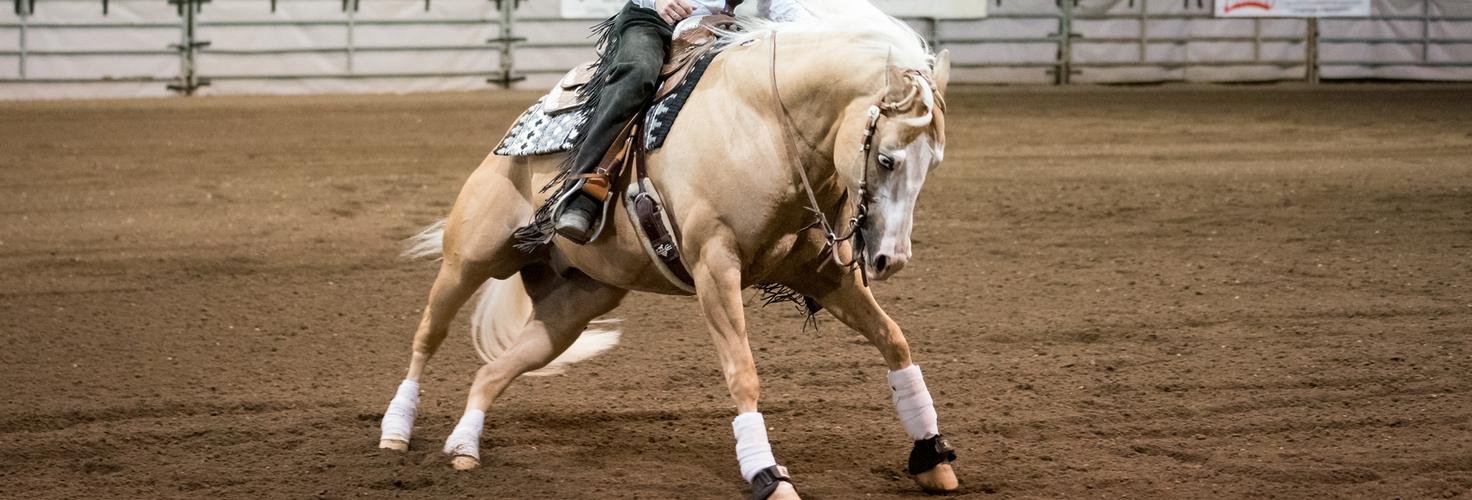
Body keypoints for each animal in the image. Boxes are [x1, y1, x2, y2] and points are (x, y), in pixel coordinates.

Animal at [376, 3, 956, 498]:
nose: (890, 259)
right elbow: (742, 372)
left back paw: (465, 446)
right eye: (886, 158)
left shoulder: (821, 275)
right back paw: (396, 430)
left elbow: (894, 342)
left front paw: (932, 456)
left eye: (933, 163)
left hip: (574, 307)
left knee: (492, 371)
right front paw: (768, 475)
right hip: (469, 260)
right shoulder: (714, 268)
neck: (763, 126)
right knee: (428, 334)